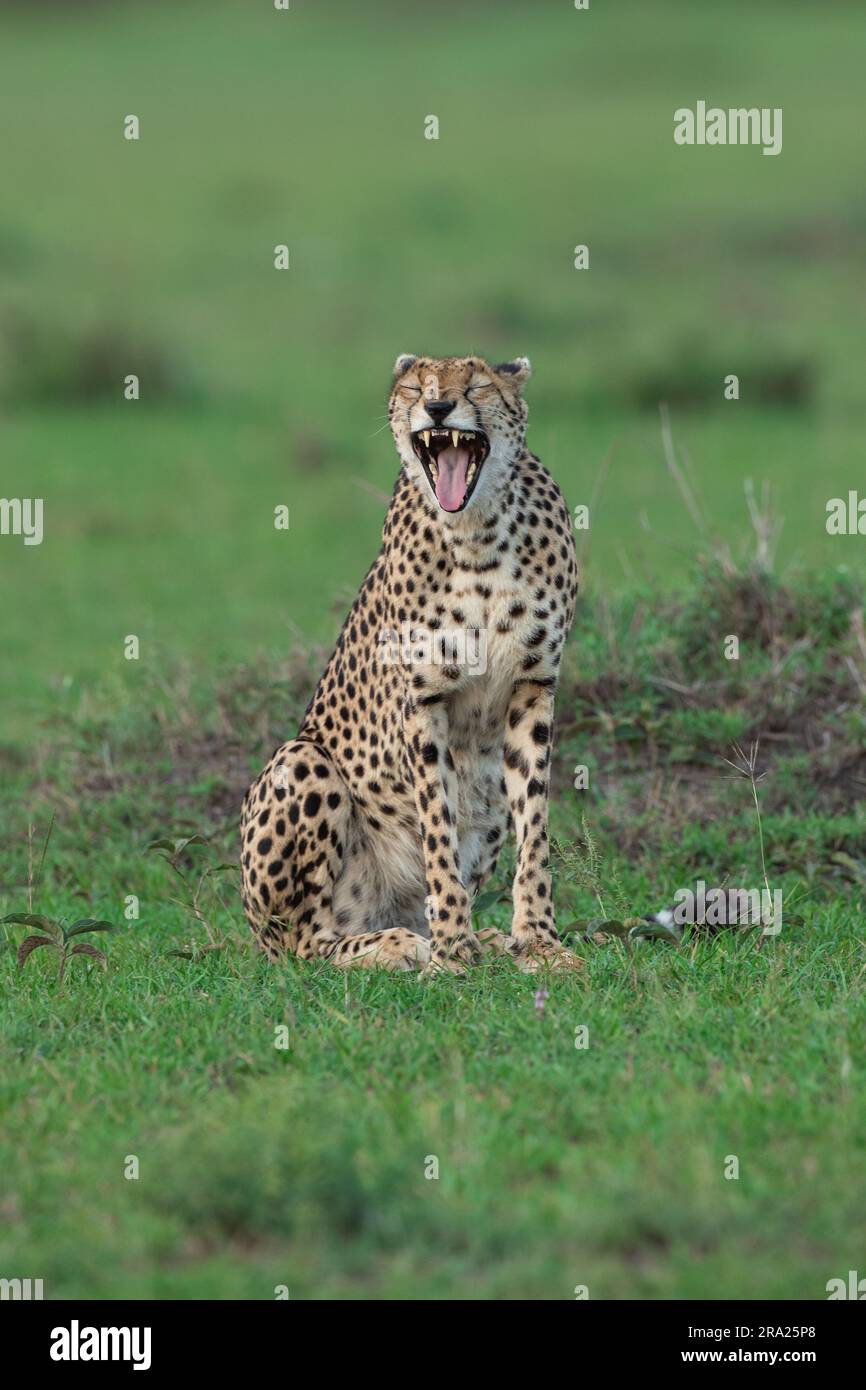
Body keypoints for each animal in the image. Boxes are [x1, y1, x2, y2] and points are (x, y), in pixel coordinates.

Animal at [240, 353, 581, 975]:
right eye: (418, 387)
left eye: (476, 386)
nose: (439, 407)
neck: (476, 533)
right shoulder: (424, 699)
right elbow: (437, 826)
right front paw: (452, 949)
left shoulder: (532, 688)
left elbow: (536, 827)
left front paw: (538, 941)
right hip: (303, 761)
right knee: (304, 945)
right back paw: (398, 944)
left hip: (489, 796)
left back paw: (482, 937)